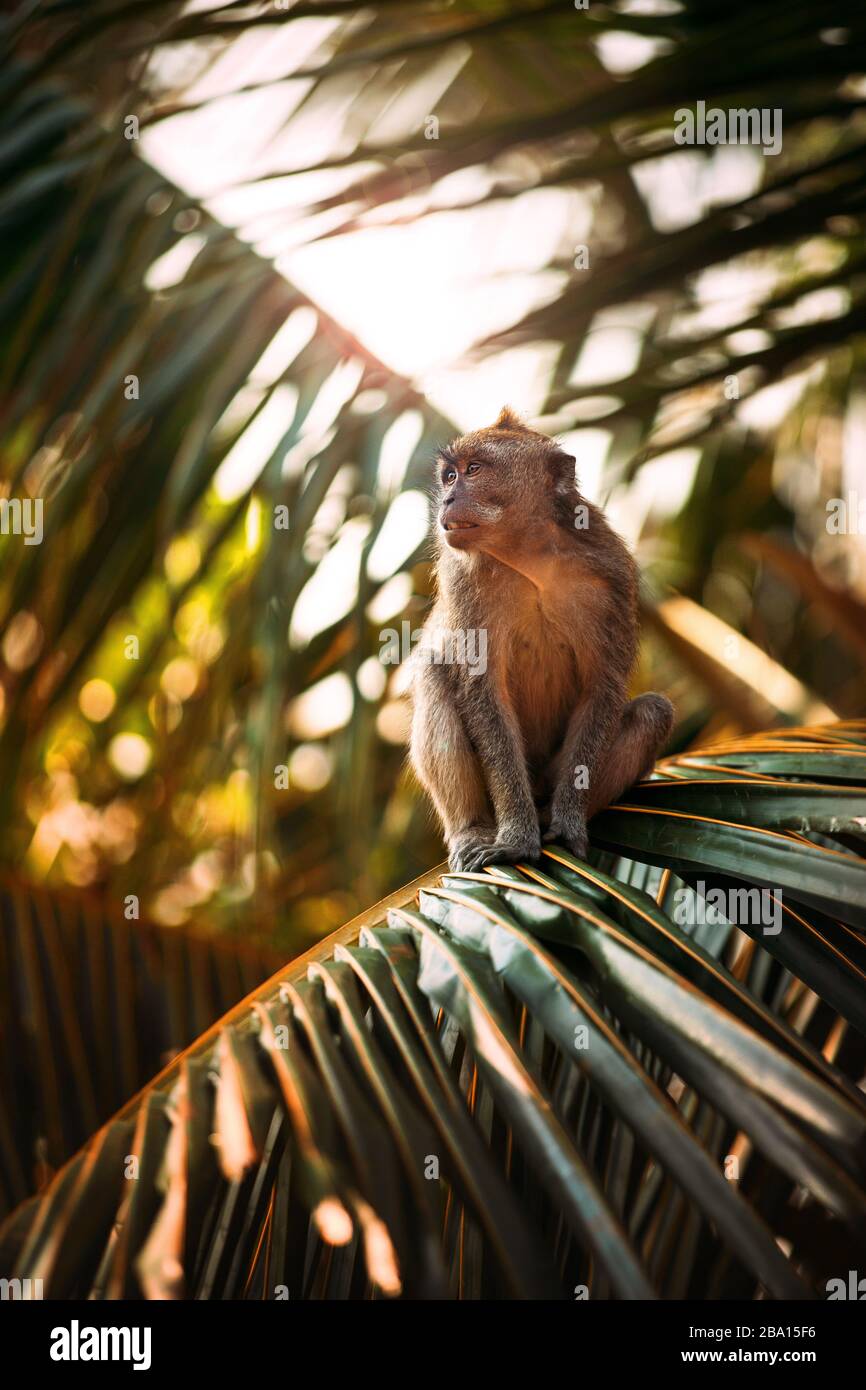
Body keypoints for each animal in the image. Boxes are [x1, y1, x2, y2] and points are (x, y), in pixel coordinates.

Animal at [409, 406, 674, 873]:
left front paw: (567, 824)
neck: (529, 558)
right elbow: (482, 691)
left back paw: (551, 815)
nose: (445, 500)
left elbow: (601, 688)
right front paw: (517, 837)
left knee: (652, 712)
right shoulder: (462, 580)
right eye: (449, 476)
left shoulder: (613, 575)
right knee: (435, 673)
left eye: (473, 470)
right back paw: (472, 829)